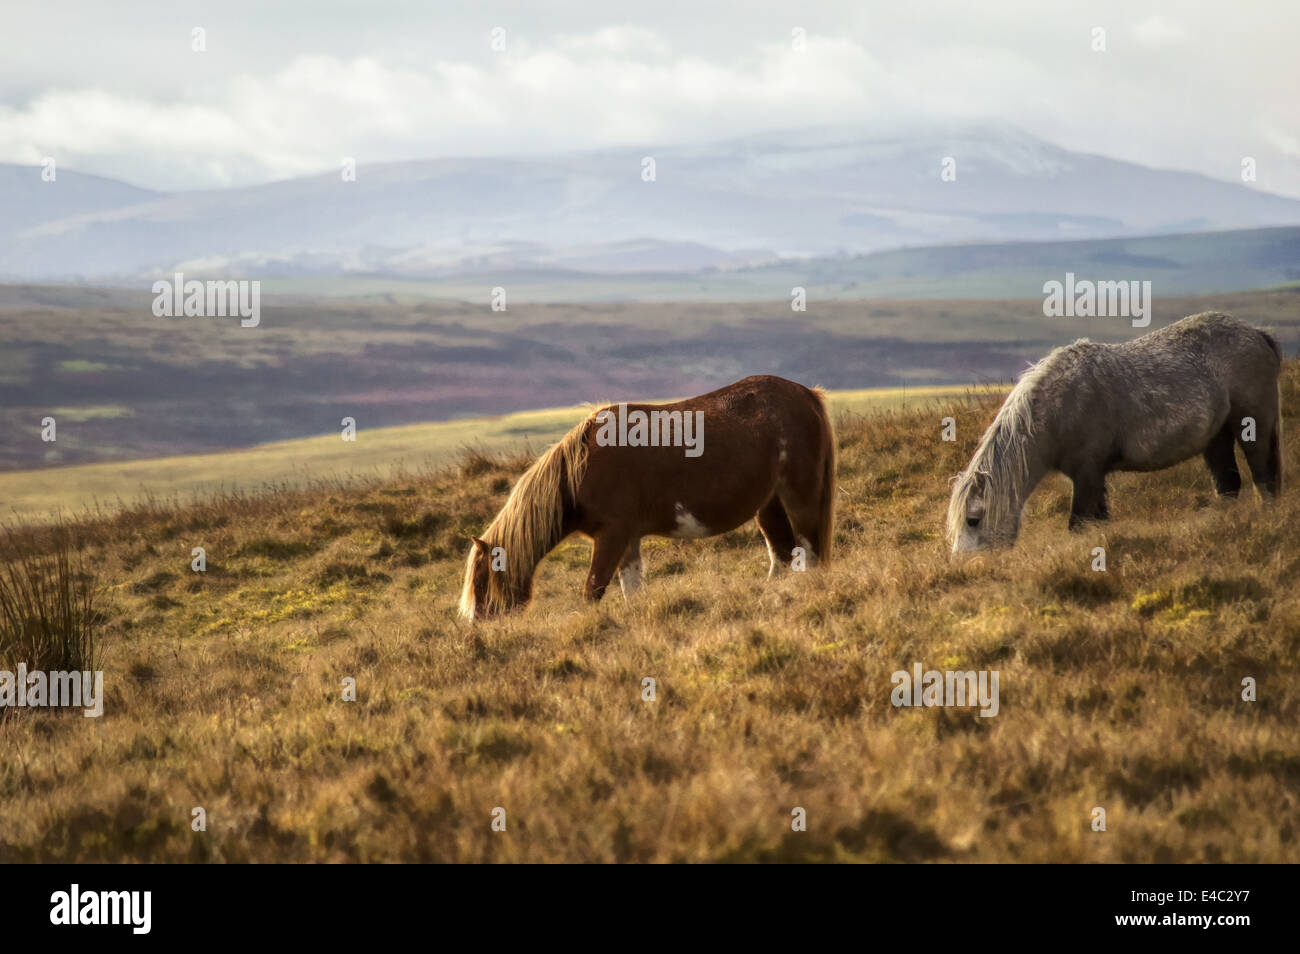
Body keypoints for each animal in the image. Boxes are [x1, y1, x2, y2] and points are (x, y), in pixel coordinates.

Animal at [459, 375, 837, 620]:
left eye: (480, 580)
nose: (478, 626)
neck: (581, 470)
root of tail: (807, 395)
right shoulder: (627, 540)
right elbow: (632, 589)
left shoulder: (612, 536)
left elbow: (593, 589)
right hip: (769, 504)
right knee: (783, 554)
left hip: (798, 495)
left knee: (808, 549)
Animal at [946, 312, 1282, 553]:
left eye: (973, 520)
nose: (966, 565)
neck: (1056, 409)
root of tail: (1257, 333)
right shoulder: (1093, 477)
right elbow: (1099, 520)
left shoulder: (1087, 474)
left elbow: (1079, 524)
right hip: (1216, 437)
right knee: (1228, 484)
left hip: (1252, 425)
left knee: (1264, 478)